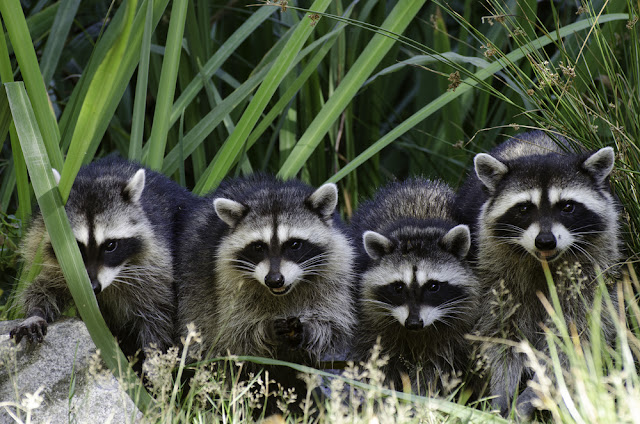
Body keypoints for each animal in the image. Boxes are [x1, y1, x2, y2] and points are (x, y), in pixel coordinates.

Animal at [10, 156, 196, 360]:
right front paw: (34, 314)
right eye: (76, 247)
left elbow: (157, 313)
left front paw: (153, 358)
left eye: (110, 245)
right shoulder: (43, 248)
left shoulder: (156, 260)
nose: (92, 287)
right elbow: (42, 289)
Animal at [176, 174, 356, 392]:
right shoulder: (226, 284)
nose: (274, 280)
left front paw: (310, 330)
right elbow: (235, 334)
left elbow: (332, 328)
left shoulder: (335, 273)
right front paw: (266, 331)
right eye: (258, 247)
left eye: (294, 244)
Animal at [350, 178, 479, 394]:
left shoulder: (458, 329)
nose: (413, 323)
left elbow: (438, 367)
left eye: (433, 286)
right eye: (398, 287)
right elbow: (376, 358)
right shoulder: (369, 320)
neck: (417, 227)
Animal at [455, 131, 622, 417]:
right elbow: (500, 334)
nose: (545, 241)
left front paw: (532, 395)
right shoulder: (494, 272)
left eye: (567, 207)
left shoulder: (590, 271)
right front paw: (501, 394)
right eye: (524, 208)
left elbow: (573, 336)